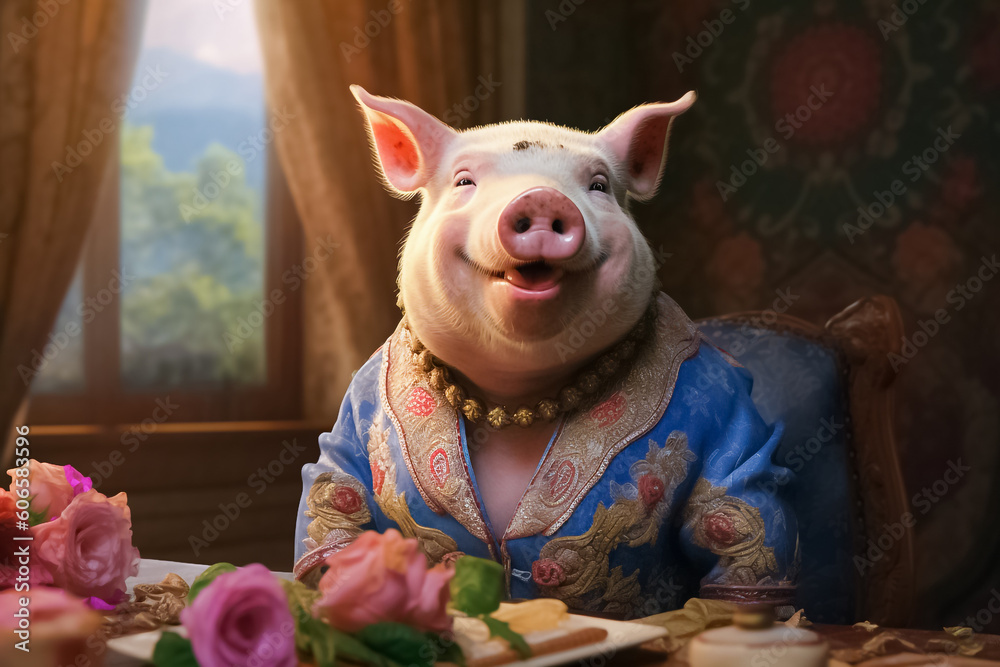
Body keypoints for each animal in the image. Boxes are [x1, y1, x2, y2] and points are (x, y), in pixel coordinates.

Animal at [294, 85, 797, 619]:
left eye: (598, 185)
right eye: (464, 180)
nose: (540, 196)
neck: (517, 399)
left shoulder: (730, 410)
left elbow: (736, 500)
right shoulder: (361, 396)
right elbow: (334, 479)